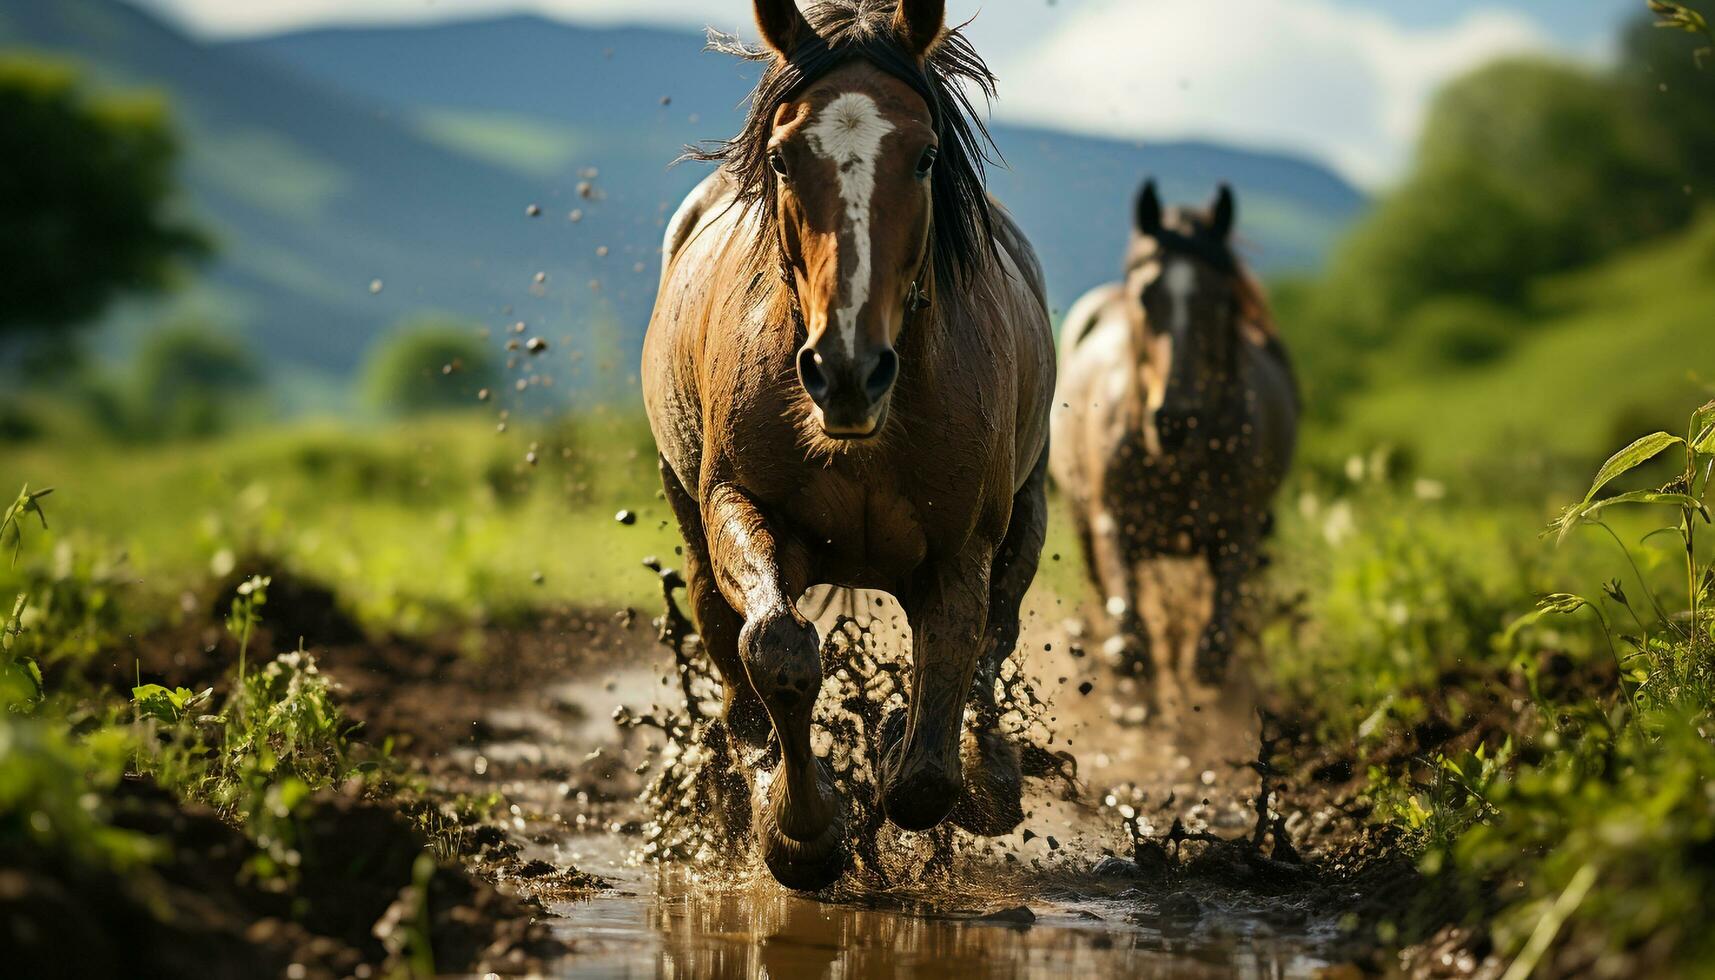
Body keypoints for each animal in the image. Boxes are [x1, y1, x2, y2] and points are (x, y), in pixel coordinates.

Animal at [642, 0, 1054, 890]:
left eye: (925, 155)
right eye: (782, 157)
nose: (846, 372)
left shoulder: (963, 546)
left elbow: (935, 739)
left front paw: (905, 752)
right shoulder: (738, 504)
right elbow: (777, 648)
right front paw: (804, 829)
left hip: (1027, 518)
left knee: (996, 641)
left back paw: (990, 775)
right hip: (690, 522)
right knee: (729, 657)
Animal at [1049, 180, 1297, 689]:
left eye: (1221, 300)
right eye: (1145, 296)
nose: (1175, 420)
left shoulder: (1239, 530)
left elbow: (1213, 650)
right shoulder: (1112, 521)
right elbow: (1130, 641)